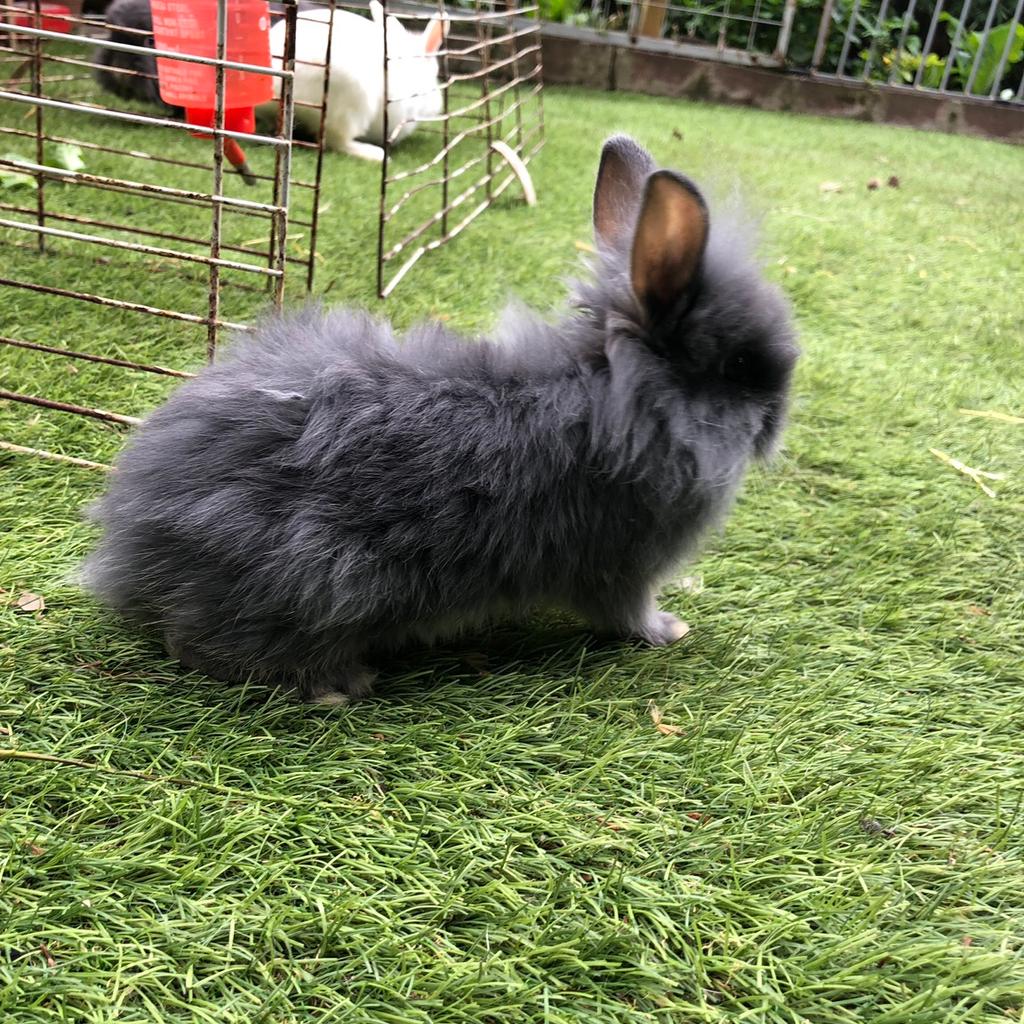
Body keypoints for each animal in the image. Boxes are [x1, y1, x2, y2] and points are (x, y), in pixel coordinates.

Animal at [81, 135, 799, 703]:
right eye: (742, 363)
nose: (776, 420)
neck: (614, 394)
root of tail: (131, 543)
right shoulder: (622, 570)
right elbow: (627, 614)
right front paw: (670, 630)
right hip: (319, 579)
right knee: (199, 646)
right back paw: (337, 686)